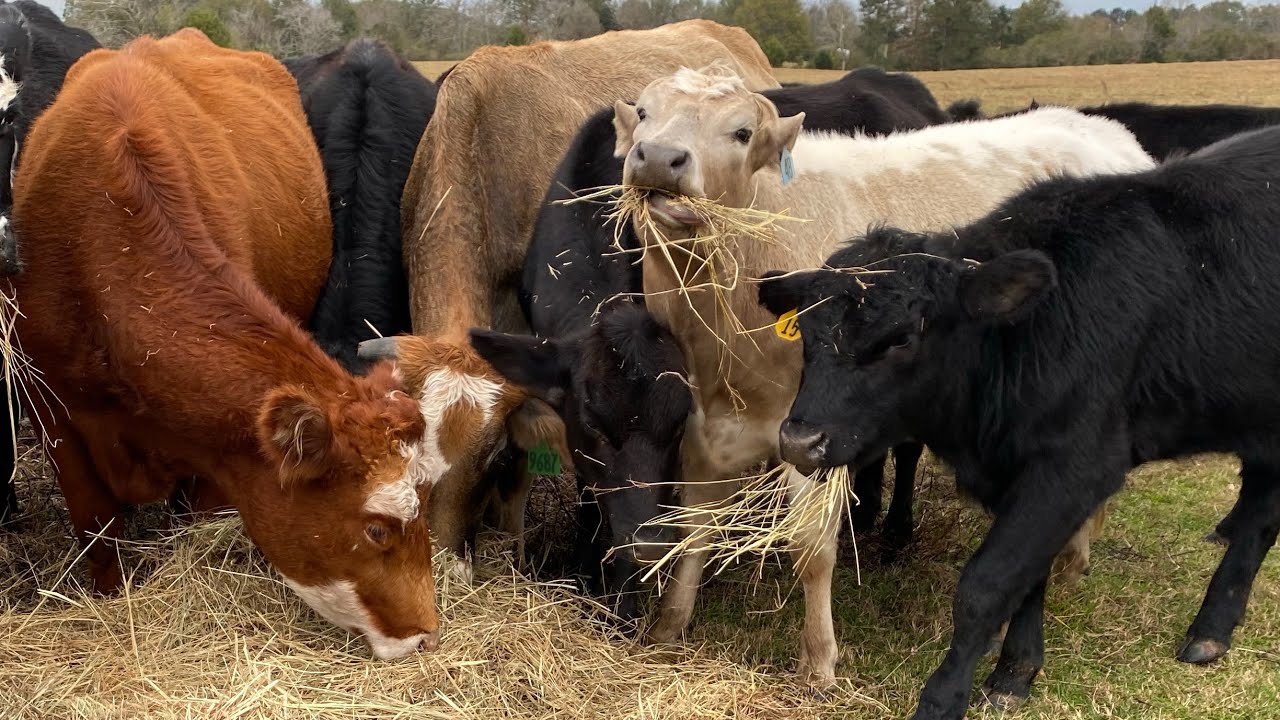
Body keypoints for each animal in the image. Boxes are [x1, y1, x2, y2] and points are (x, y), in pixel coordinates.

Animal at [614, 66, 1154, 683]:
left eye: (742, 131)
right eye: (646, 113)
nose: (659, 158)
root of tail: (1105, 131)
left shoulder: (812, 434)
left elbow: (811, 548)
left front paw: (818, 659)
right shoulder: (709, 425)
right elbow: (694, 530)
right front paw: (668, 627)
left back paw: (1072, 560)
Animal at [758, 124, 1280, 719]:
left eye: (902, 339)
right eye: (805, 332)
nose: (800, 440)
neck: (1031, 332)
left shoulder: (1076, 467)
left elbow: (987, 584)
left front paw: (944, 697)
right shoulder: (1015, 472)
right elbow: (1026, 577)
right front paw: (1016, 670)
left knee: (1259, 521)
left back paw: (1210, 629)